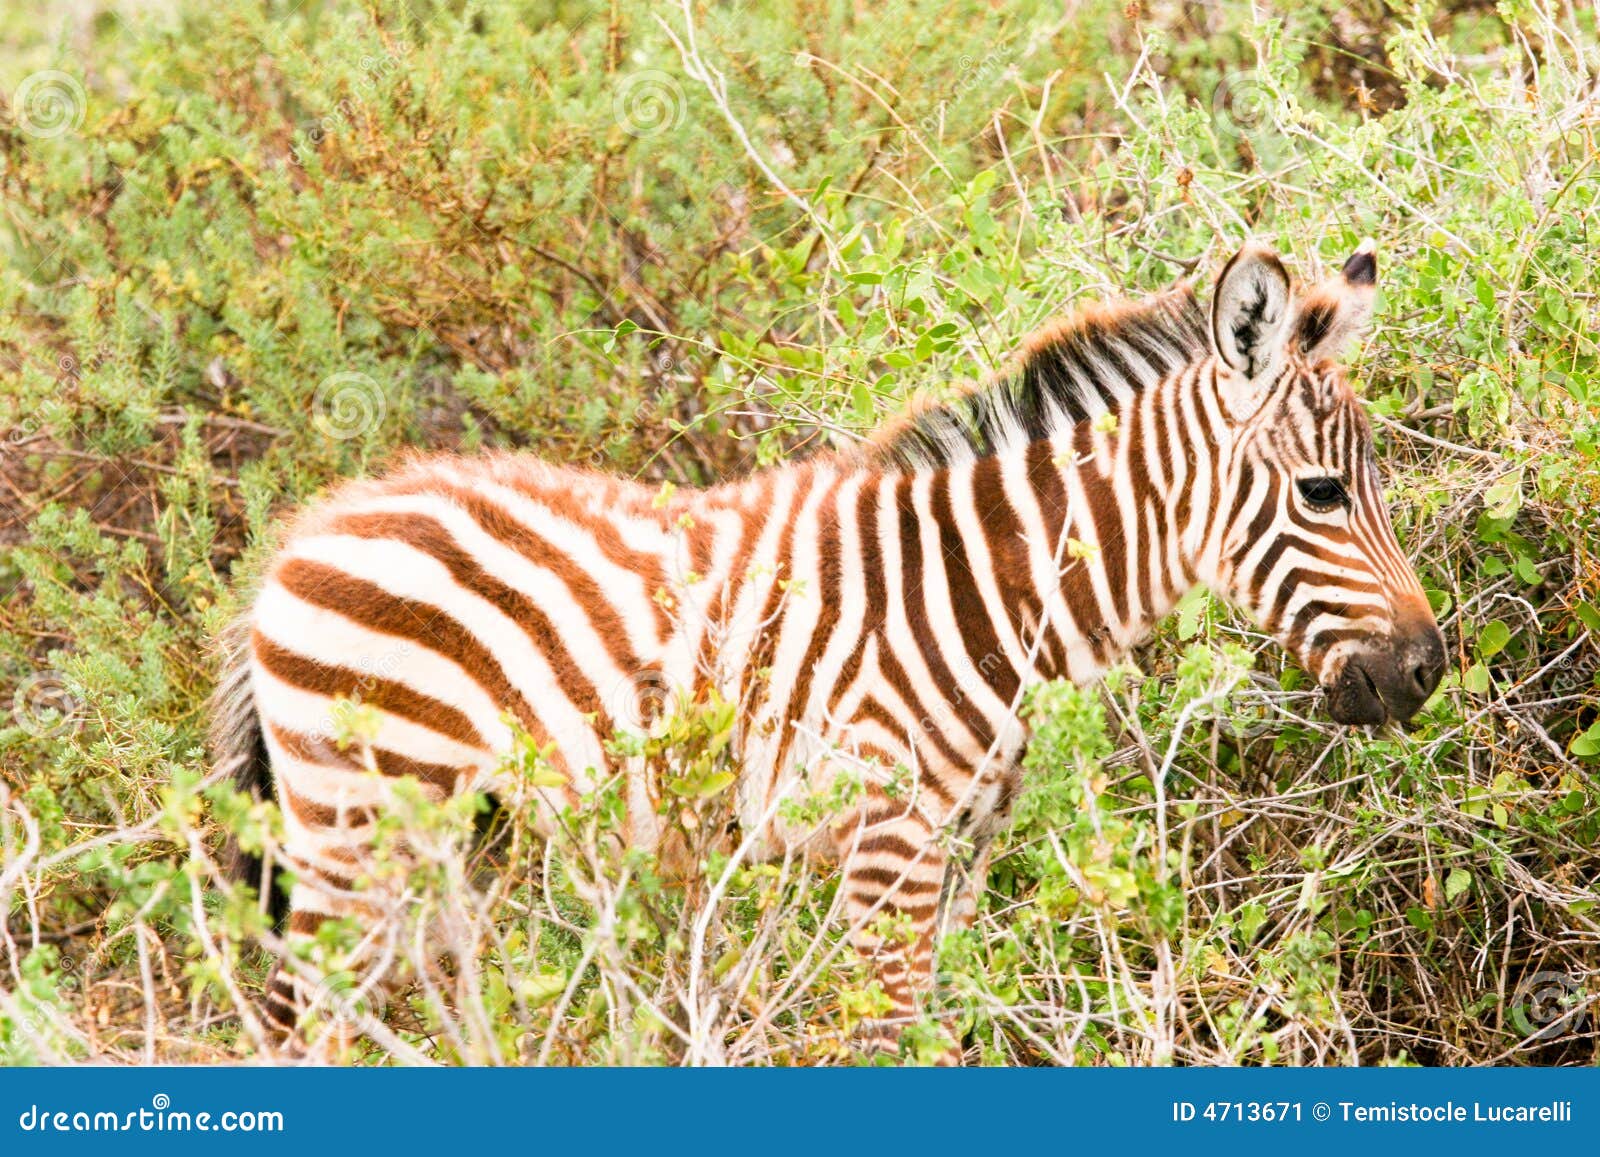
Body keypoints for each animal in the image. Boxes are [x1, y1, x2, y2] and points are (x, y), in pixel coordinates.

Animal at [211, 240, 1445, 1062]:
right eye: (1322, 492)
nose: (1428, 670)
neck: (985, 595)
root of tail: (301, 535)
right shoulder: (883, 845)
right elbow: (891, 1037)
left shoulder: (961, 851)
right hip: (354, 823)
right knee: (310, 1023)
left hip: (456, 833)